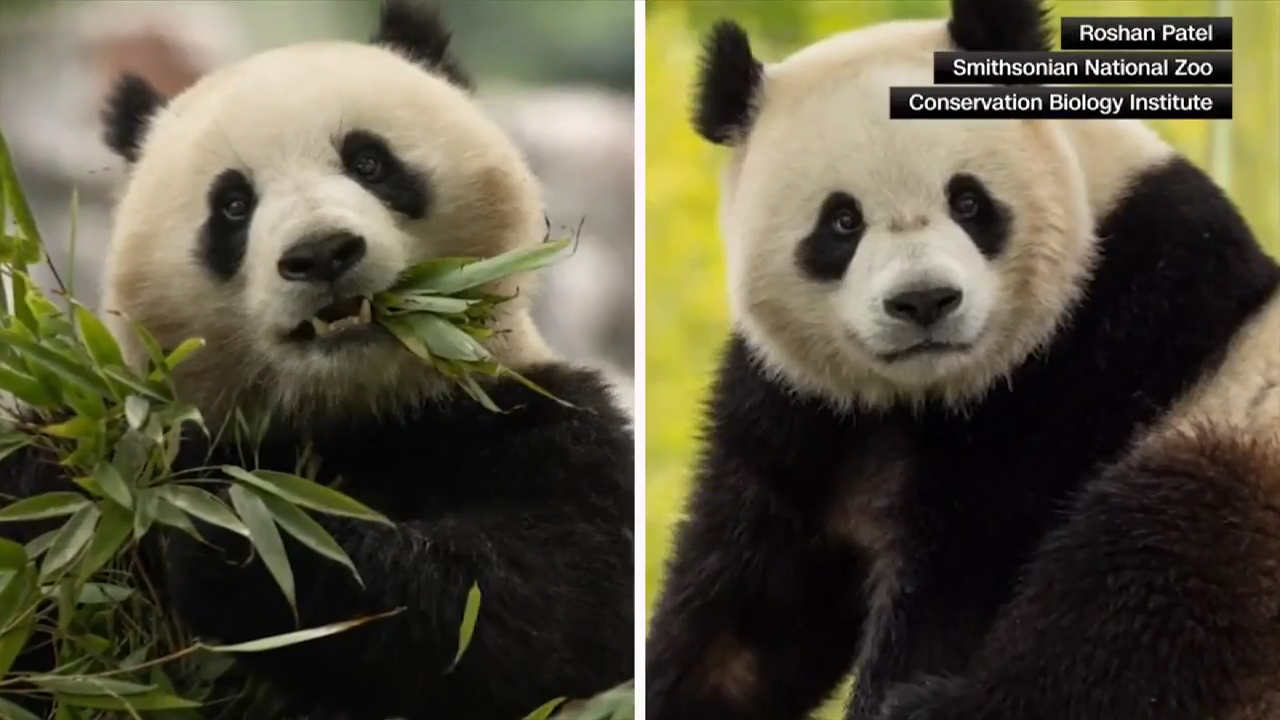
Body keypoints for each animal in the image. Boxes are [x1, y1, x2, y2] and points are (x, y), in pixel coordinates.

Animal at [0, 2, 633, 719]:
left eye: (369, 161)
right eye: (233, 204)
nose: (323, 252)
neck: (350, 413)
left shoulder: (536, 418)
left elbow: (538, 600)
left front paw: (243, 540)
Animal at [645, 1, 1280, 720]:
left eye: (968, 201)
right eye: (842, 221)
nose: (924, 301)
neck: (924, 393)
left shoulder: (1099, 349)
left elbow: (963, 574)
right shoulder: (802, 402)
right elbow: (746, 608)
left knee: (1145, 584)